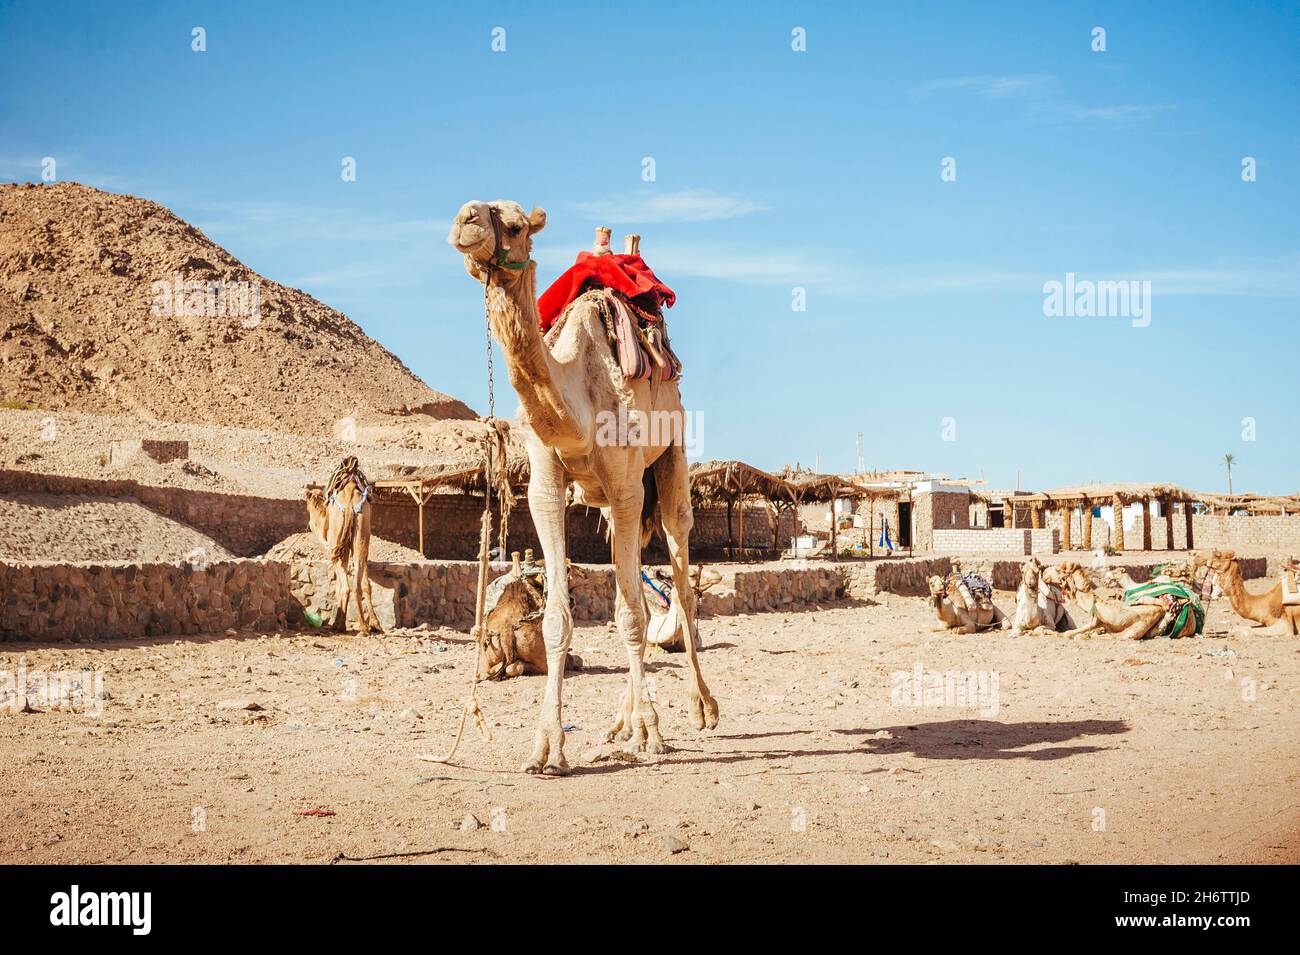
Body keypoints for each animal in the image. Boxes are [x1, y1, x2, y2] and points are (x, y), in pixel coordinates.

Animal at [304, 460, 381, 637]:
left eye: (307, 507)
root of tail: (350, 498)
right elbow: (366, 584)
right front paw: (375, 624)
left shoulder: (337, 547)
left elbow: (339, 585)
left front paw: (339, 623)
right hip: (362, 529)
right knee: (357, 583)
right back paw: (365, 628)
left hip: (337, 541)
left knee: (345, 586)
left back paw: (339, 626)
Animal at [448, 199, 718, 775]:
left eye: (515, 225)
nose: (466, 219)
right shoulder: (546, 483)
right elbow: (563, 617)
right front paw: (546, 748)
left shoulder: (627, 483)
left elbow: (632, 615)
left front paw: (652, 733)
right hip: (622, 504)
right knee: (637, 584)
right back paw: (621, 723)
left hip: (671, 458)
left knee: (681, 579)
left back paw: (698, 708)